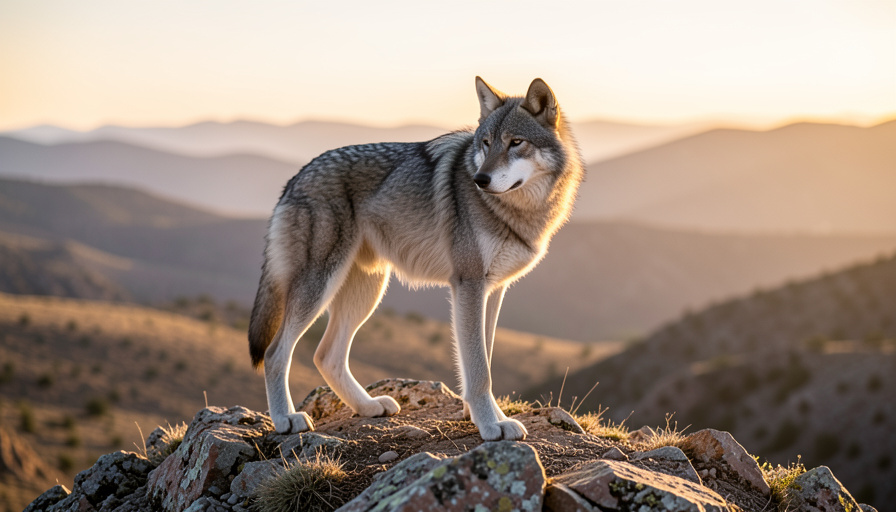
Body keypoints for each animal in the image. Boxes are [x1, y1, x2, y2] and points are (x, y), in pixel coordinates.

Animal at [248, 77, 584, 441]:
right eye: (486, 143)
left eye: (516, 143)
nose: (480, 179)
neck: (516, 212)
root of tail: (296, 177)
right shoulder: (468, 284)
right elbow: (479, 369)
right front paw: (490, 425)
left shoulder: (493, 290)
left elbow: (484, 360)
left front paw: (487, 417)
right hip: (321, 286)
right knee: (275, 353)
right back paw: (285, 419)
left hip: (367, 290)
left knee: (326, 355)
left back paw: (368, 407)